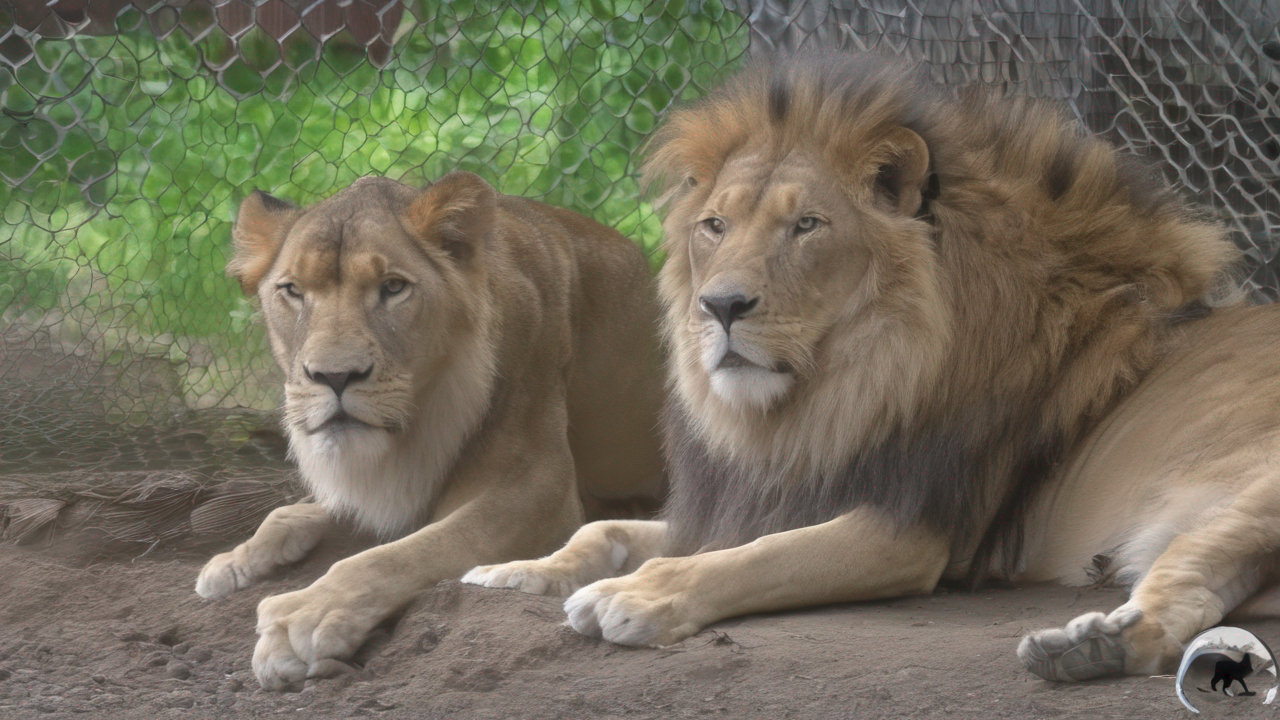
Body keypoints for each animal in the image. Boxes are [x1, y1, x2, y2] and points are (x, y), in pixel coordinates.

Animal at [197, 170, 670, 686]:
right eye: (293, 290)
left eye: (392, 287)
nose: (334, 376)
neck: (410, 436)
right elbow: (288, 512)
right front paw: (233, 560)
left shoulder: (537, 490)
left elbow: (397, 554)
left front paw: (302, 619)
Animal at [465, 53, 1280, 681]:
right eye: (715, 226)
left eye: (807, 226)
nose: (719, 305)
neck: (829, 397)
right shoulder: (770, 493)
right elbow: (604, 528)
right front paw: (513, 571)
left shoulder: (911, 529)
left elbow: (754, 559)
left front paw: (631, 595)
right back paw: (1090, 647)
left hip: (1255, 491)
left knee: (1187, 588)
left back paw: (1095, 646)